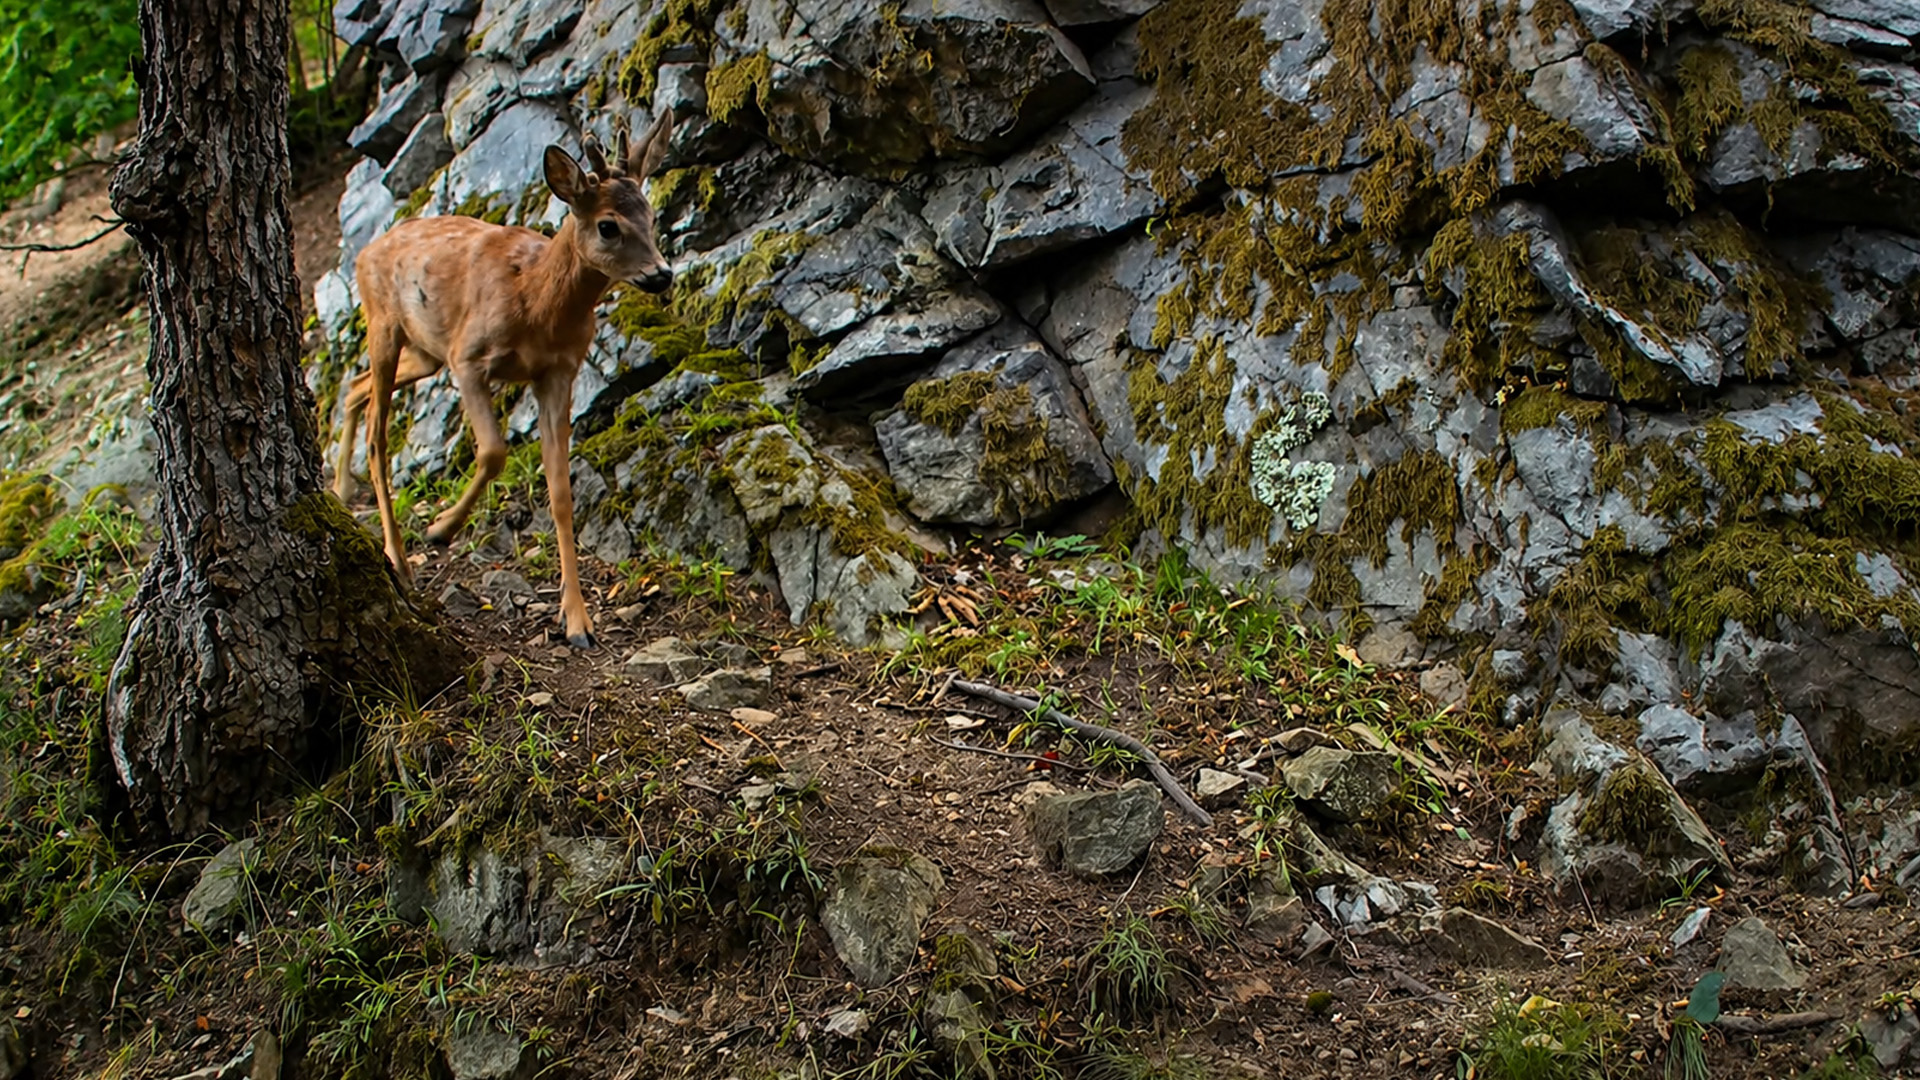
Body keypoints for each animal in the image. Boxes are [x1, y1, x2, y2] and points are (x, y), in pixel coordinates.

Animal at [331, 111, 677, 650]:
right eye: (608, 226)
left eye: (652, 217)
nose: (662, 274)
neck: (535, 300)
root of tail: (366, 251)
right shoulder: (468, 357)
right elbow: (494, 451)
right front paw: (440, 529)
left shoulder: (558, 371)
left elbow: (560, 490)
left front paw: (577, 620)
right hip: (386, 323)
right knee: (377, 432)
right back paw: (397, 557)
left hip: (424, 351)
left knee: (355, 387)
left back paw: (342, 489)